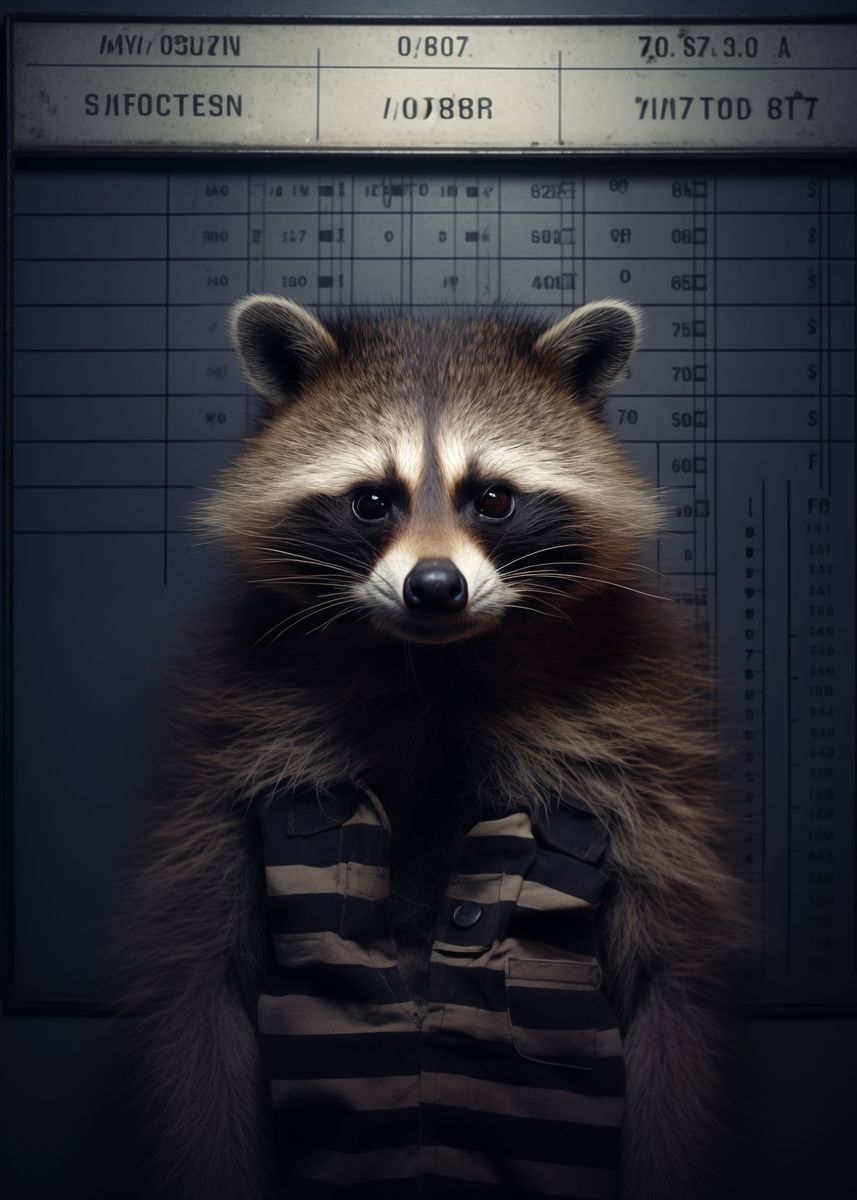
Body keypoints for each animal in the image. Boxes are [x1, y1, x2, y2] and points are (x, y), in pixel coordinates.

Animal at [110, 298, 754, 1200]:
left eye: (493, 499)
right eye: (371, 501)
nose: (435, 588)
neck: (434, 661)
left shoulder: (646, 733)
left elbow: (672, 979)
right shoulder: (231, 726)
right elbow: (197, 975)